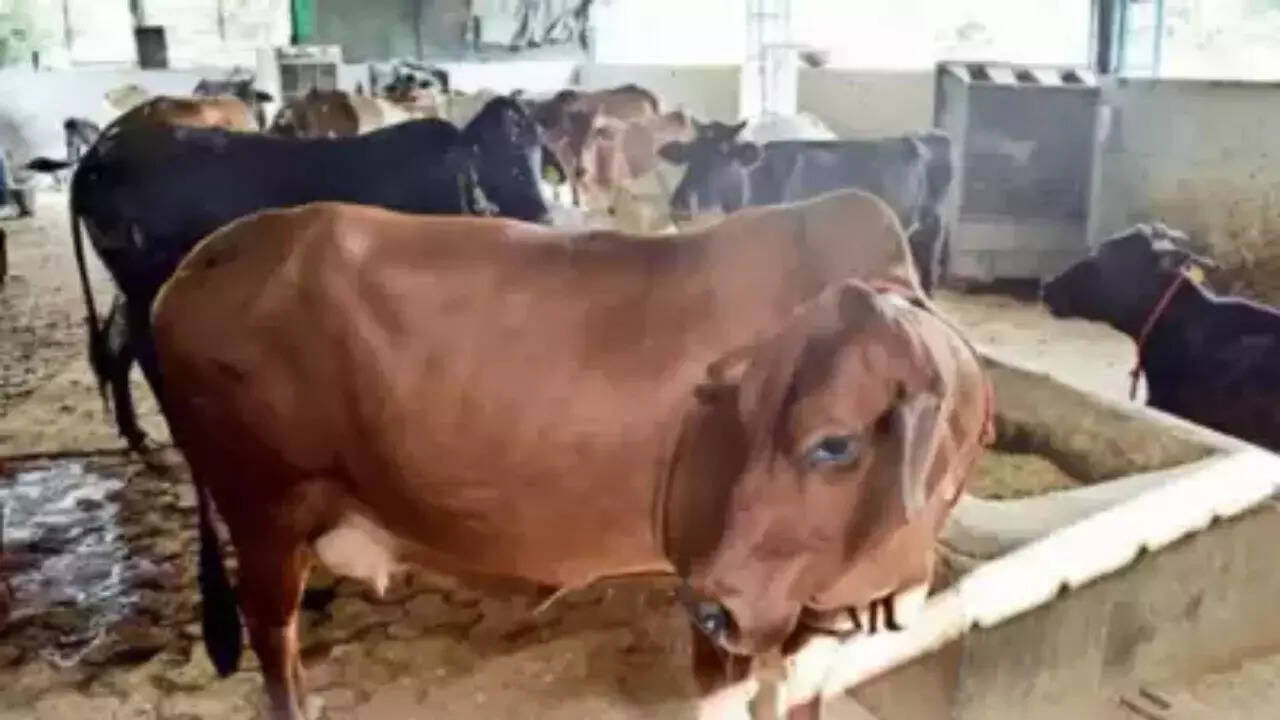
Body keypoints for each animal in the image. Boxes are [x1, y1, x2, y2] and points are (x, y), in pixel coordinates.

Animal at [69, 97, 562, 452]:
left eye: (538, 155)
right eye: (497, 157)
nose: (543, 214)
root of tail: (102, 151)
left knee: (116, 345)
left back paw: (136, 434)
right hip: (143, 288)